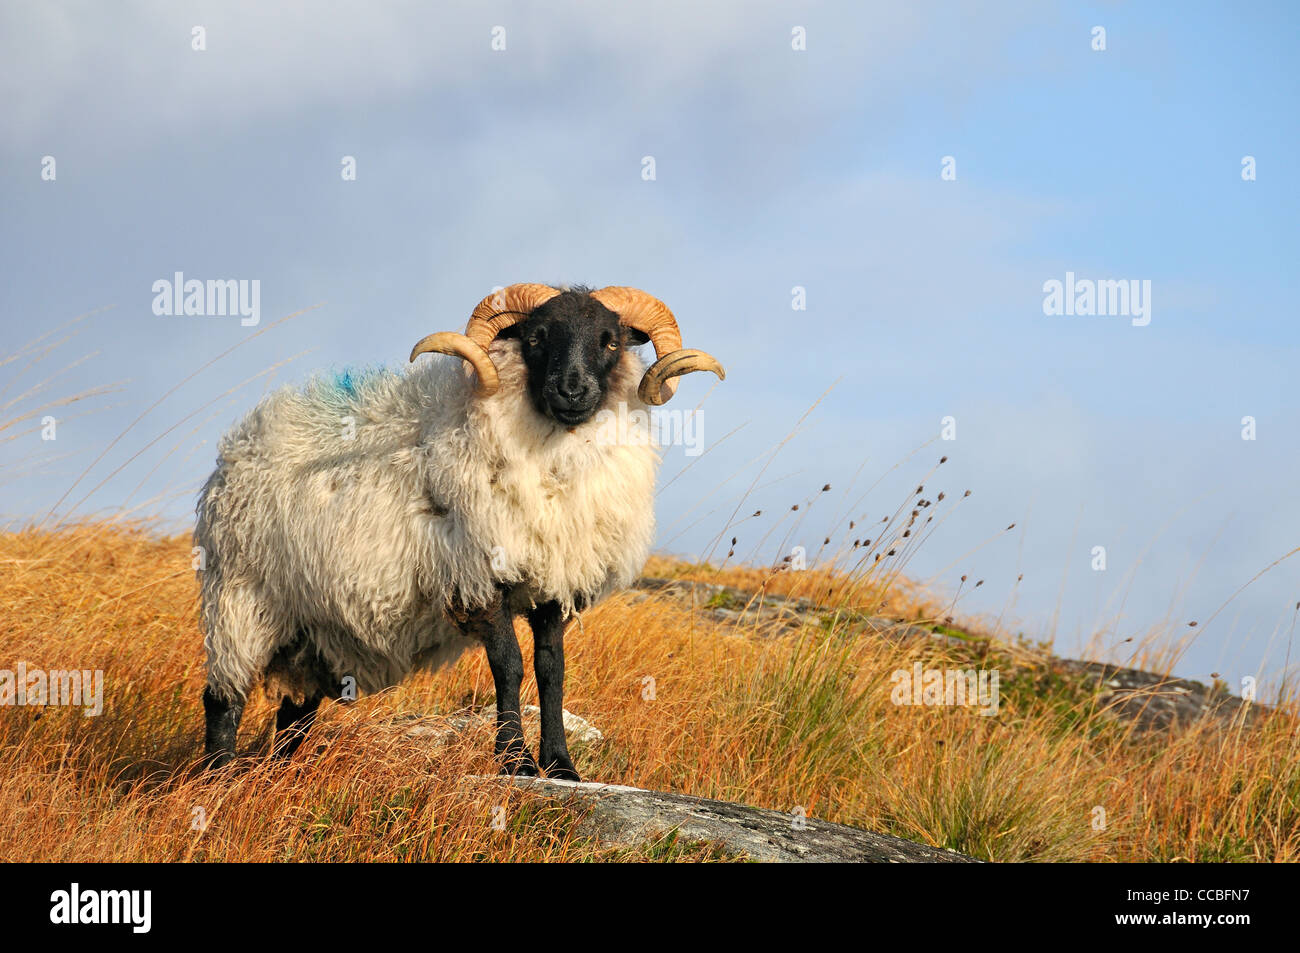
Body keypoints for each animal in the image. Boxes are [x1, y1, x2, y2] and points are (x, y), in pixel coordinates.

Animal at [196, 283, 724, 779]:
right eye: (536, 337)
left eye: (610, 341)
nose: (571, 392)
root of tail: (240, 447)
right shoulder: (478, 575)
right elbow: (509, 666)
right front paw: (515, 762)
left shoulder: (553, 580)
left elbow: (551, 670)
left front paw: (561, 766)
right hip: (242, 599)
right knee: (222, 698)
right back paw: (217, 781)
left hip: (314, 632)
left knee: (294, 712)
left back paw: (281, 777)